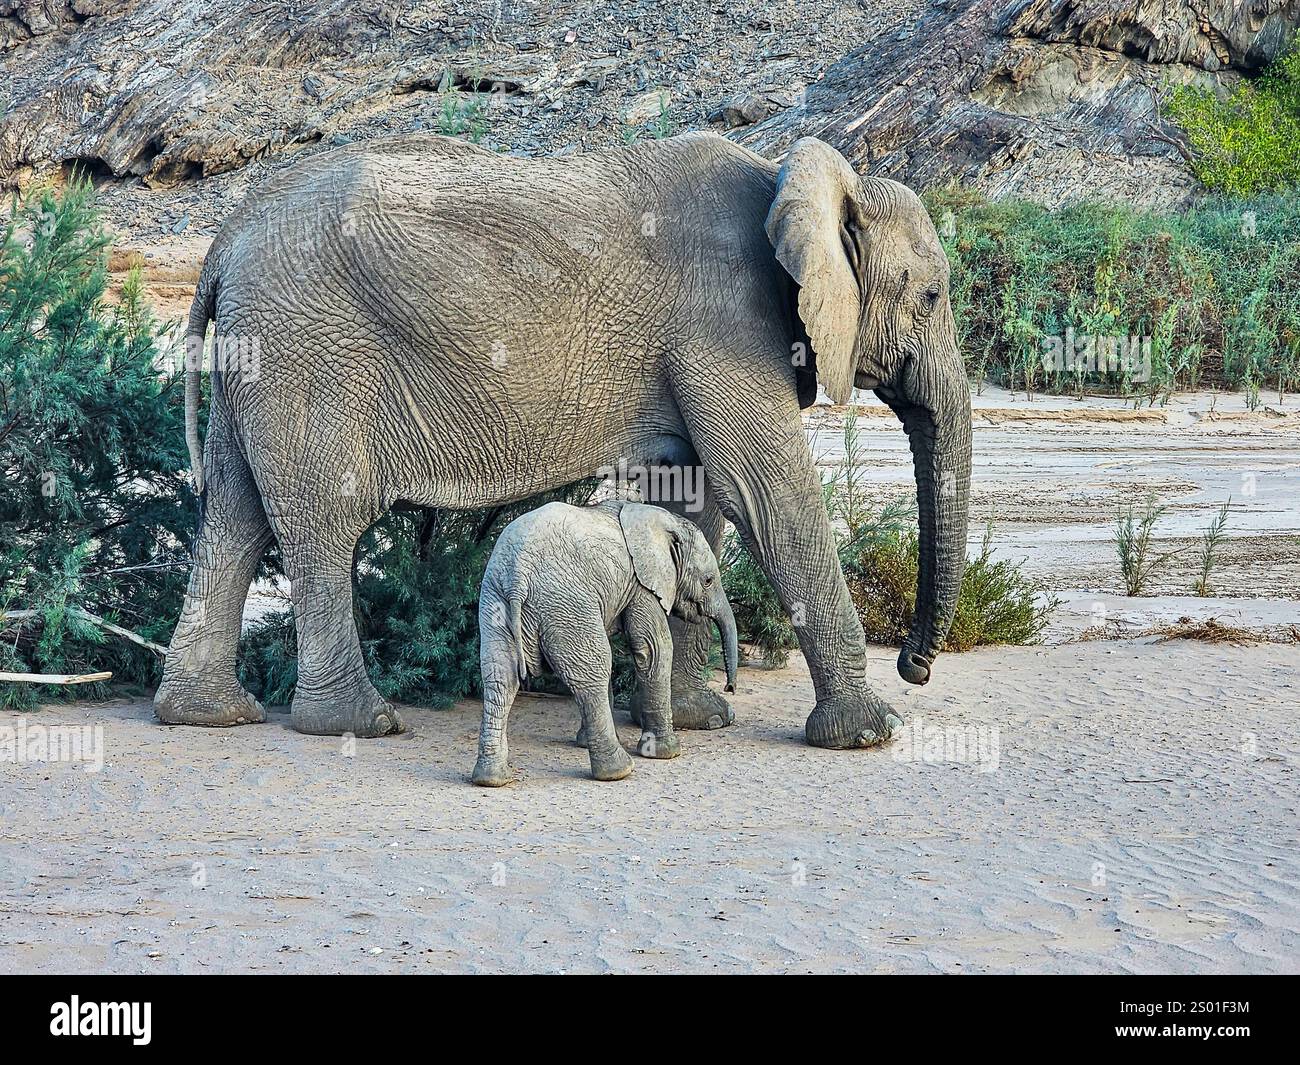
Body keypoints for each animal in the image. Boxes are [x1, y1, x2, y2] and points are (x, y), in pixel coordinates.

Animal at [156, 129, 971, 749]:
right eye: (931, 295)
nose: (917, 665)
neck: (791, 179)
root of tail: (225, 241)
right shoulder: (724, 322)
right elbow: (767, 492)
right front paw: (868, 733)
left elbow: (694, 498)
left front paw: (691, 720)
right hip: (308, 354)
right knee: (322, 518)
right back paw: (361, 723)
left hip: (257, 353)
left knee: (233, 512)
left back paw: (207, 714)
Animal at [472, 498, 739, 786]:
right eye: (708, 580)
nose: (730, 687)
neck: (661, 518)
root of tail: (517, 577)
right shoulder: (641, 583)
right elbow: (653, 649)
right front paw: (667, 753)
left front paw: (583, 743)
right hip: (565, 602)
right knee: (592, 673)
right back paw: (619, 770)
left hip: (495, 600)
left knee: (501, 676)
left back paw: (491, 778)